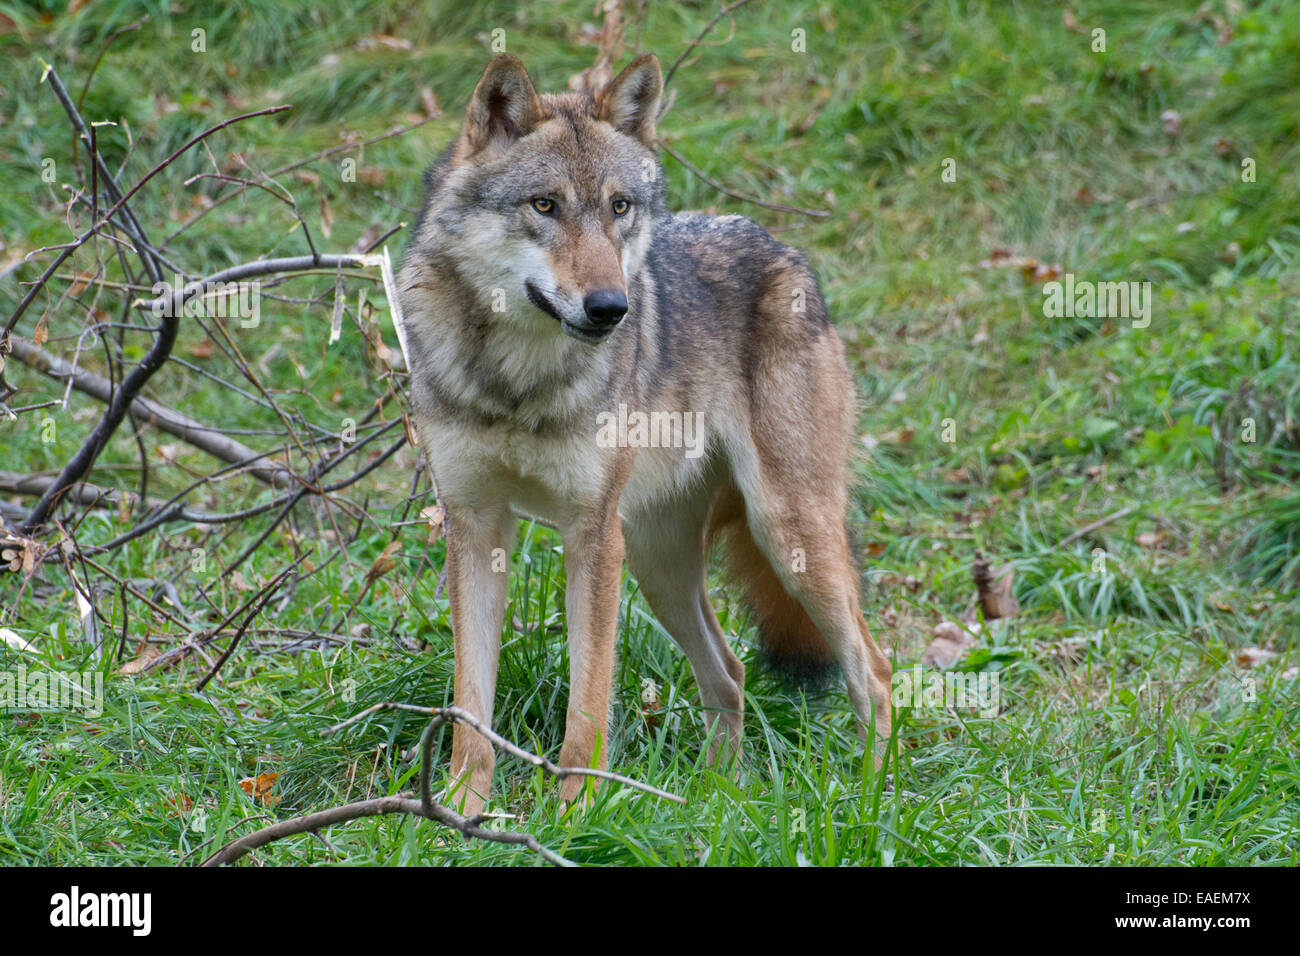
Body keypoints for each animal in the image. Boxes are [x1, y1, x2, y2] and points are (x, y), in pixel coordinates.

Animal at [397, 53, 893, 815]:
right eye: (545, 205)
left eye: (619, 207)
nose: (611, 308)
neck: (517, 381)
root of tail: (785, 250)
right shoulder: (476, 526)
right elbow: (469, 708)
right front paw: (454, 812)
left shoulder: (591, 535)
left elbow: (588, 708)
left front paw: (573, 816)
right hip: (659, 566)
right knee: (732, 672)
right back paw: (719, 799)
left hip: (787, 535)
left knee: (875, 672)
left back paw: (871, 804)